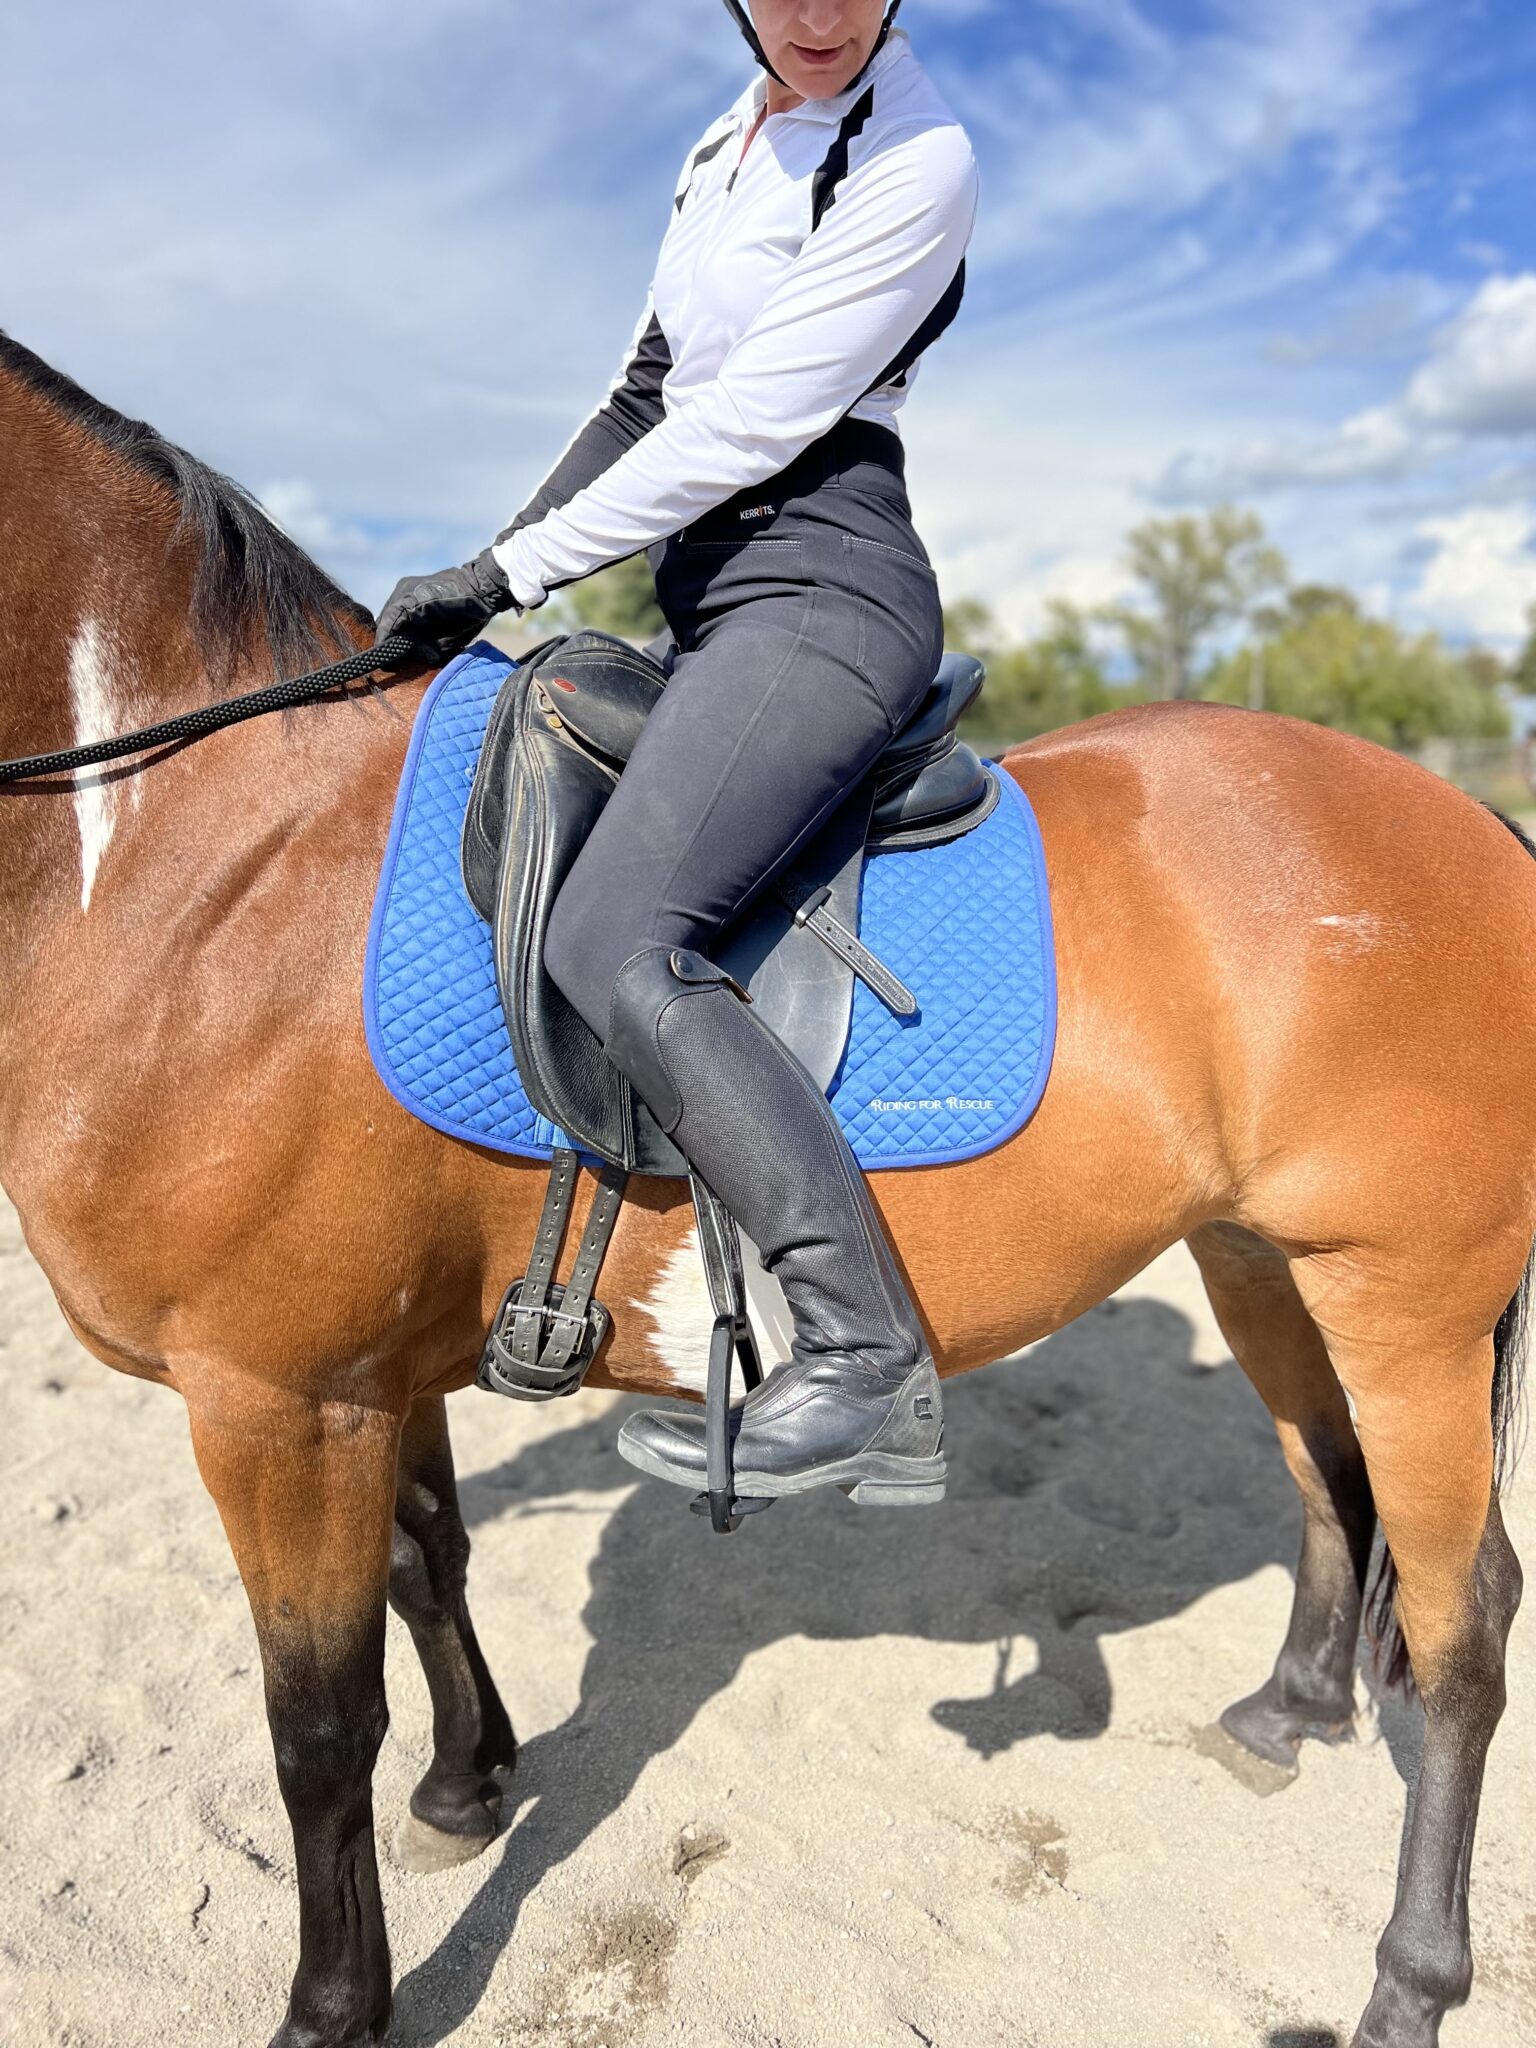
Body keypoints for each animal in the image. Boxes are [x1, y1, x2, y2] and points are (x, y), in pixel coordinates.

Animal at [0, 327, 1527, 2048]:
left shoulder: (273, 1398)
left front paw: (334, 2007)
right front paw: (468, 1787)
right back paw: (1289, 1710)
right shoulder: (361, 1375)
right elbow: (425, 1563)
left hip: (1409, 1305)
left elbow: (316, 1727)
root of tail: (1467, 817)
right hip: (1263, 1263)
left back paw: (1408, 1986)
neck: (204, 852)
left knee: (1466, 1632)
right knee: (1330, 1485)